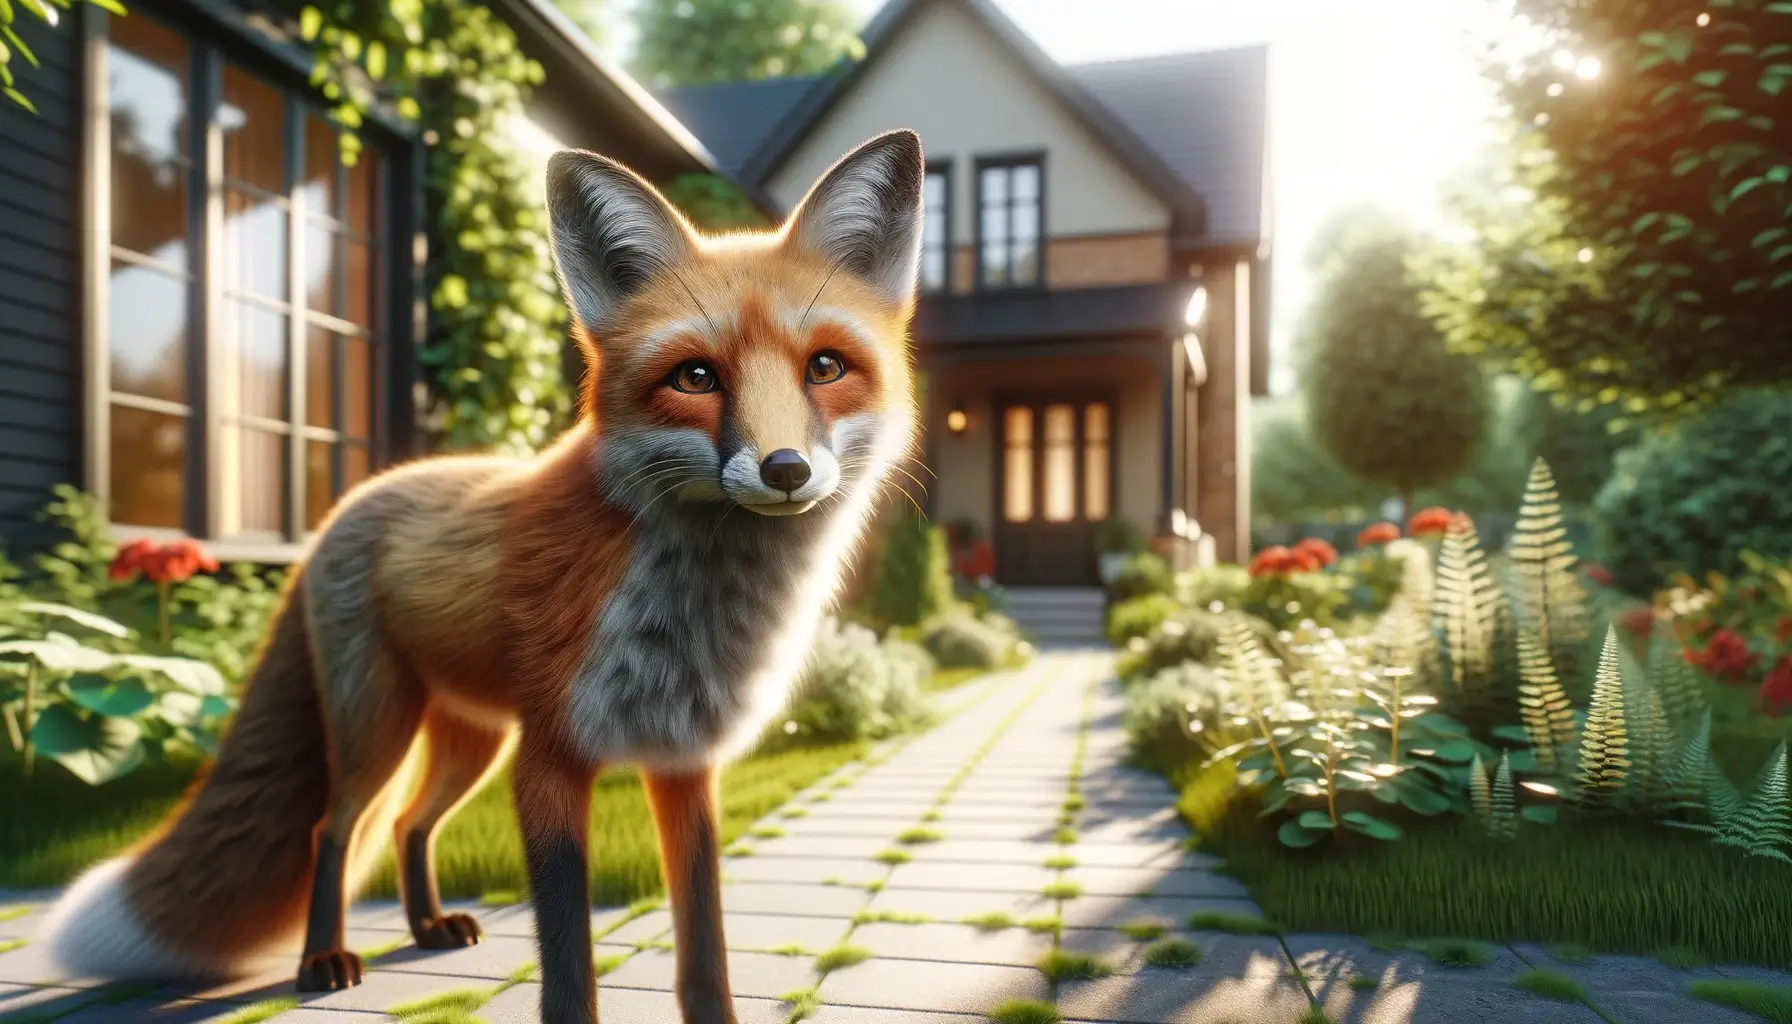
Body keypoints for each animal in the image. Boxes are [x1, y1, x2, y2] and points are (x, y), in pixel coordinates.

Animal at [41, 129, 927, 1024]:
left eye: (825, 368)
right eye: (696, 378)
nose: (786, 470)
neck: (695, 611)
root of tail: (350, 502)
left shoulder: (683, 763)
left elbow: (704, 943)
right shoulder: (549, 763)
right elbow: (566, 962)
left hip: (472, 740)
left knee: (410, 826)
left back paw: (427, 925)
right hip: (381, 728)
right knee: (336, 828)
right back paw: (324, 958)